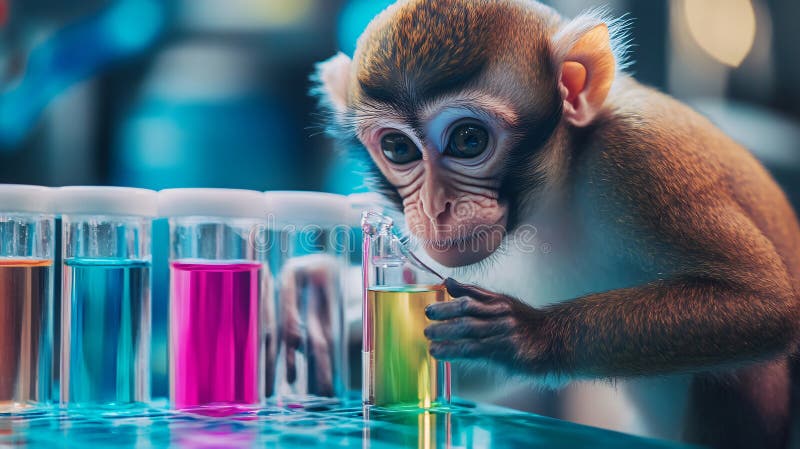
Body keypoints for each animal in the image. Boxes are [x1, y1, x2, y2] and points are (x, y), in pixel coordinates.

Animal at [312, 1, 800, 448]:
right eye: (398, 148)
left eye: (468, 140)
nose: (434, 207)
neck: (557, 188)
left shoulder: (638, 156)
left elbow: (766, 303)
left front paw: (527, 336)